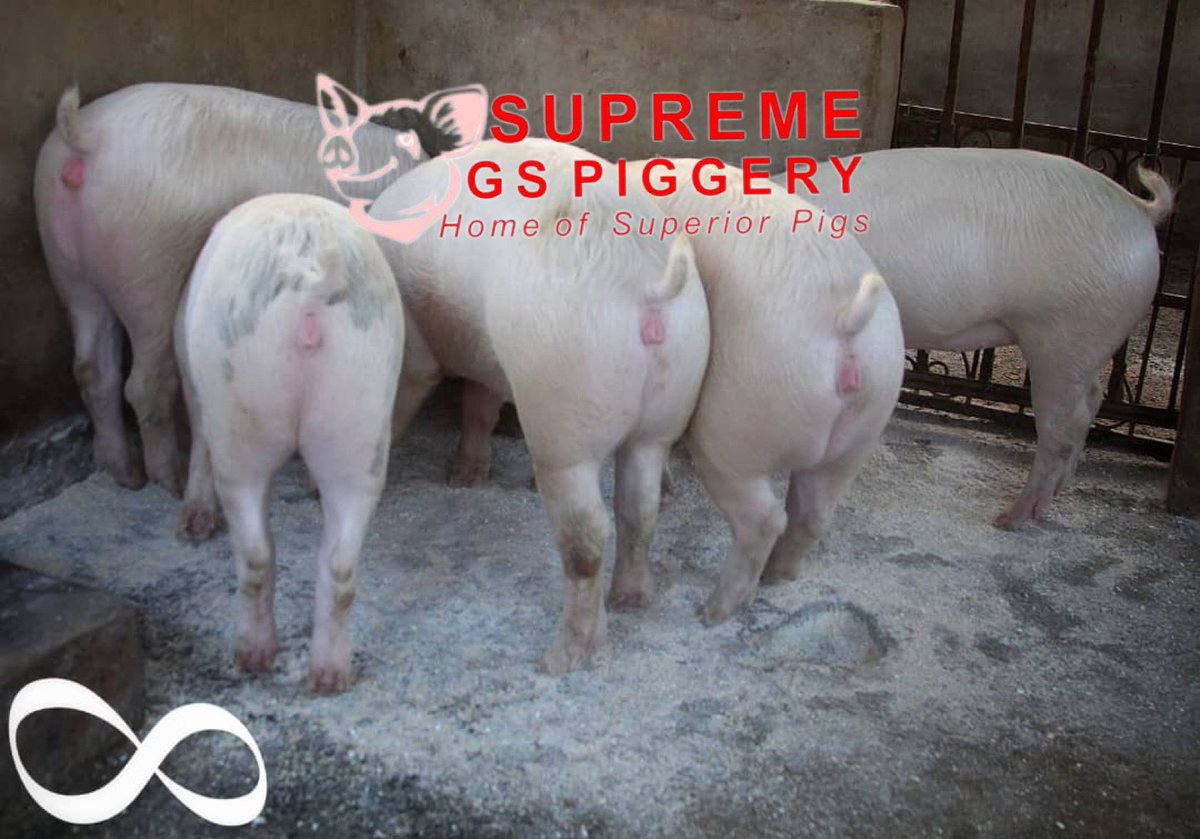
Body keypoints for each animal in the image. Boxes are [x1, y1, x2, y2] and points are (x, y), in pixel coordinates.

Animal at [32, 77, 463, 506]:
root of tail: (86, 137)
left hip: (68, 268)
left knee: (92, 369)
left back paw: (123, 473)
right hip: (150, 261)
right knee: (143, 382)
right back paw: (168, 482)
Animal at [177, 193, 404, 693]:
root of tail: (314, 281)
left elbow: (197, 434)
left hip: (240, 396)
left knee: (255, 550)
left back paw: (253, 657)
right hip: (362, 400)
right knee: (341, 563)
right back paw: (330, 677)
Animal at [369, 138, 711, 673]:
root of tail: (648, 285)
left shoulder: (418, 343)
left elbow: (412, 388)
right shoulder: (489, 353)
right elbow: (479, 406)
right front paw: (463, 477)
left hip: (562, 402)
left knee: (587, 532)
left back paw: (562, 657)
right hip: (672, 390)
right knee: (639, 506)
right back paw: (631, 600)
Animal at [630, 159, 905, 622]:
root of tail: (845, 317)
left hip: (734, 427)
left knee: (763, 519)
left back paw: (713, 611)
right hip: (863, 428)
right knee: (814, 513)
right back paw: (779, 576)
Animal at [779, 148, 1173, 529]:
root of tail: (1139, 209)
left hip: (1064, 330)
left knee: (1062, 424)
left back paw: (1010, 519)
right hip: (1081, 342)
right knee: (1091, 400)